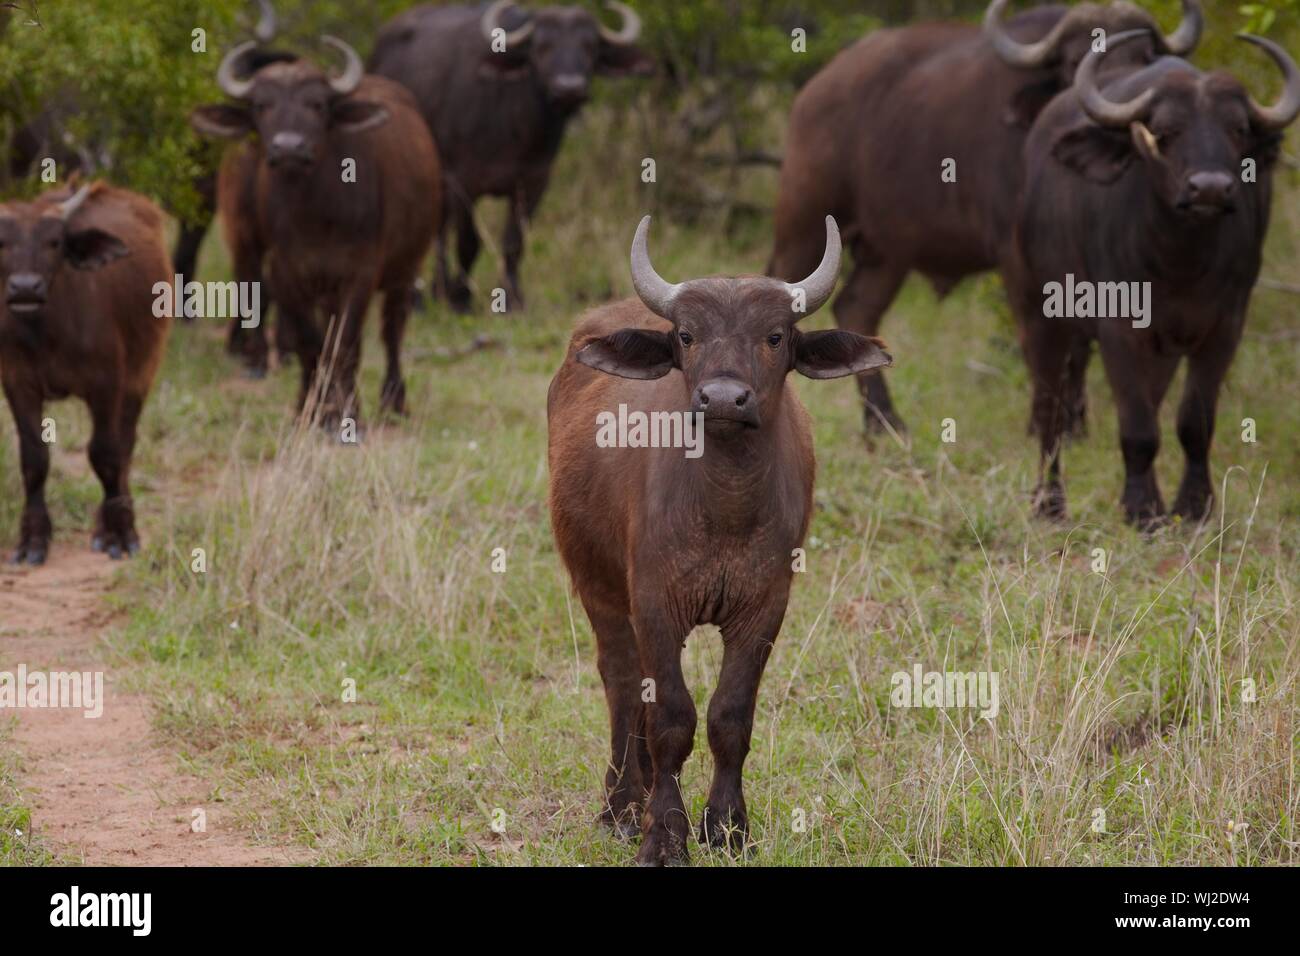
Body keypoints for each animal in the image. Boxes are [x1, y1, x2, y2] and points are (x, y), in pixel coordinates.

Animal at [0, 182, 172, 563]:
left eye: (54, 242)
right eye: (1, 242)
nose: (25, 287)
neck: (46, 333)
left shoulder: (107, 383)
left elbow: (105, 454)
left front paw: (120, 534)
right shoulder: (18, 383)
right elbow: (34, 459)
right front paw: (33, 540)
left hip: (142, 373)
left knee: (126, 444)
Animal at [369, 1, 652, 313]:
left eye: (589, 46)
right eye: (542, 47)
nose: (569, 88)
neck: (514, 122)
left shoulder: (533, 182)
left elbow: (514, 241)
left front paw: (513, 298)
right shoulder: (463, 182)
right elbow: (469, 242)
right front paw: (461, 297)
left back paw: (435, 289)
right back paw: (421, 296)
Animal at [548, 216, 890, 864]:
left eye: (775, 335)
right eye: (687, 335)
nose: (725, 399)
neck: (725, 509)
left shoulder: (764, 607)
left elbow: (730, 717)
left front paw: (727, 826)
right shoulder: (654, 603)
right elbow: (670, 720)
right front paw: (663, 834)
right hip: (595, 583)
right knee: (622, 683)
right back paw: (620, 805)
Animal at [768, 0, 1201, 434]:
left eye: (1144, 58)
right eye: (1075, 60)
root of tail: (815, 90)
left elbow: (1080, 342)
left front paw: (1075, 427)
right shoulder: (1016, 260)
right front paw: (1047, 425)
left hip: (887, 250)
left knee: (858, 307)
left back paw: (885, 423)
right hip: (804, 227)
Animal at [1006, 29, 1300, 526]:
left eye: (1238, 130)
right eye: (1164, 133)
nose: (1210, 189)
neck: (1180, 260)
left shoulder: (1225, 327)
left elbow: (1193, 422)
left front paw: (1192, 506)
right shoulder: (1118, 328)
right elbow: (1138, 425)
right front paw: (1142, 509)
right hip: (1038, 312)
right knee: (1048, 411)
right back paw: (1049, 502)